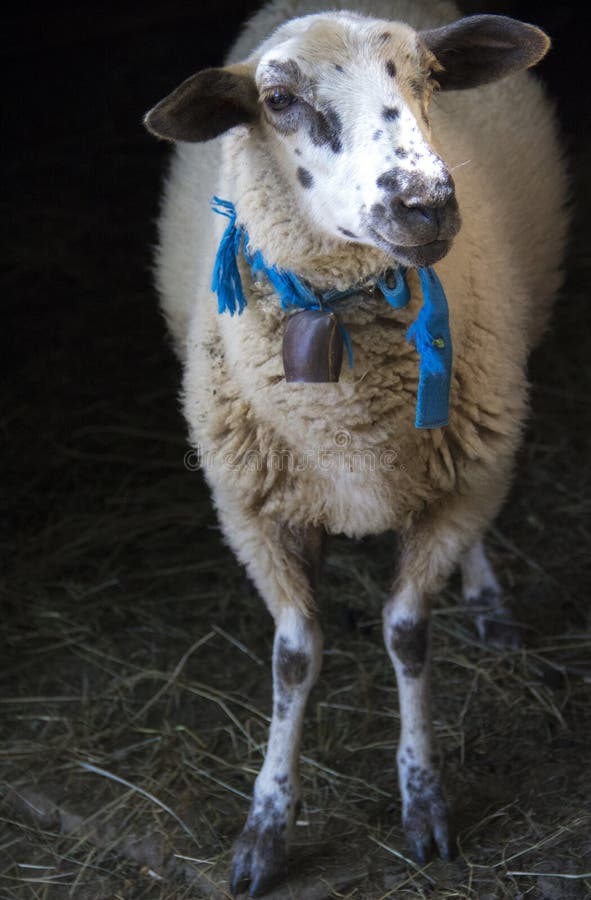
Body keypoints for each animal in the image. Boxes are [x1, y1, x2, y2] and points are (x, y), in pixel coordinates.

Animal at [144, 0, 568, 894]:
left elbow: (407, 635)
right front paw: (266, 826)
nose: (425, 202)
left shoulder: (457, 486)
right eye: (277, 101)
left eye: (429, 78)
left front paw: (423, 799)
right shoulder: (255, 515)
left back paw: (487, 601)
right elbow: (293, 658)